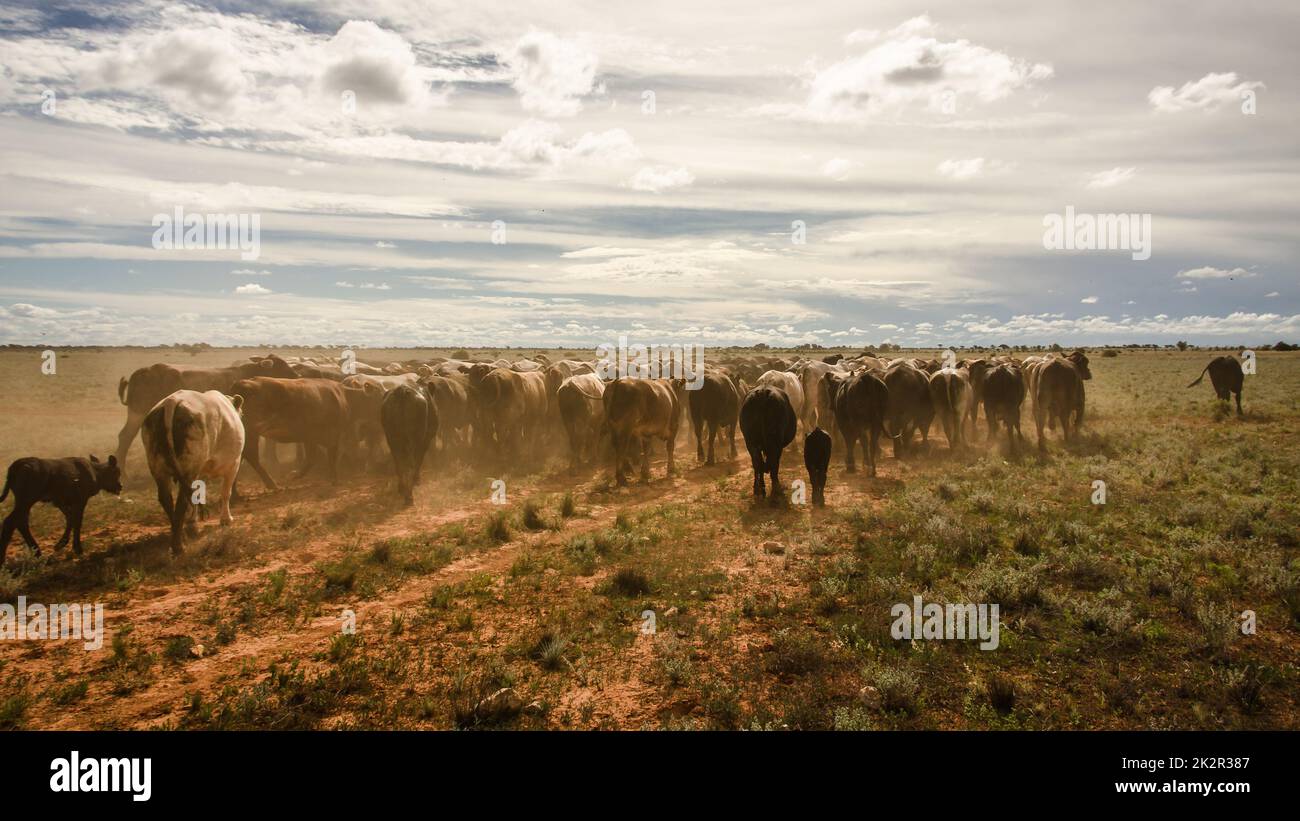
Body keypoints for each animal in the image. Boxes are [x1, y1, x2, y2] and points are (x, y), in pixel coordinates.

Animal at [115, 354, 296, 473]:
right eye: (281, 366)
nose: (296, 375)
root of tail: (143, 371)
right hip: (137, 413)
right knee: (125, 437)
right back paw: (122, 472)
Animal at [141, 390, 245, 554]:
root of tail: (171, 401)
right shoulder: (233, 464)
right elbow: (225, 493)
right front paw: (226, 519)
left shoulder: (199, 471)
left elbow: (198, 494)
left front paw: (192, 523)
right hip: (189, 467)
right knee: (182, 501)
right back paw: (178, 546)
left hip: (159, 469)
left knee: (167, 499)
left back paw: (179, 536)